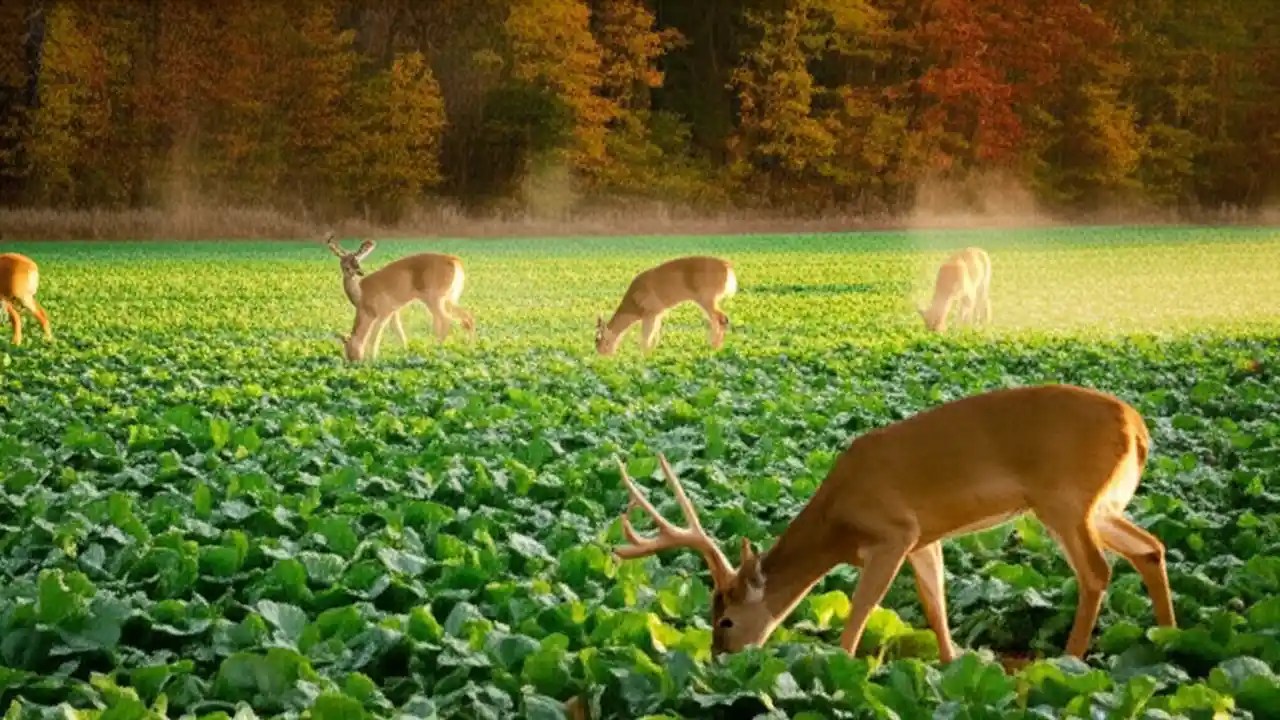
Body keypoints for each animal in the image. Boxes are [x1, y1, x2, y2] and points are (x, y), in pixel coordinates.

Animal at [325, 232, 474, 362]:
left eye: (347, 348)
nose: (353, 361)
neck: (362, 299)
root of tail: (455, 261)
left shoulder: (384, 312)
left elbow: (375, 335)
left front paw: (373, 359)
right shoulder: (393, 311)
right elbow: (399, 332)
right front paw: (405, 351)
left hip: (434, 298)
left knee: (446, 320)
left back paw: (438, 349)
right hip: (449, 297)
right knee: (467, 317)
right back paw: (468, 345)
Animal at [596, 256, 737, 355]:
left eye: (598, 340)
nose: (602, 355)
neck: (634, 306)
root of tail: (728, 267)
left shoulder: (650, 311)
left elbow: (646, 336)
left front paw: (644, 355)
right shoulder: (658, 312)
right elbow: (655, 334)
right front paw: (653, 352)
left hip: (706, 297)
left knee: (721, 319)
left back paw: (714, 347)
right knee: (718, 319)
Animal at [612, 384, 1176, 664]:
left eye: (725, 620)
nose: (719, 658)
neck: (839, 517)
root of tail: (1138, 427)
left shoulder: (893, 532)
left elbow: (860, 610)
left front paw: (838, 667)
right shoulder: (925, 538)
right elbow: (936, 605)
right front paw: (951, 665)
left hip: (1064, 499)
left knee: (1097, 572)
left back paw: (1069, 661)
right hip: (1101, 504)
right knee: (1151, 547)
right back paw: (1171, 642)